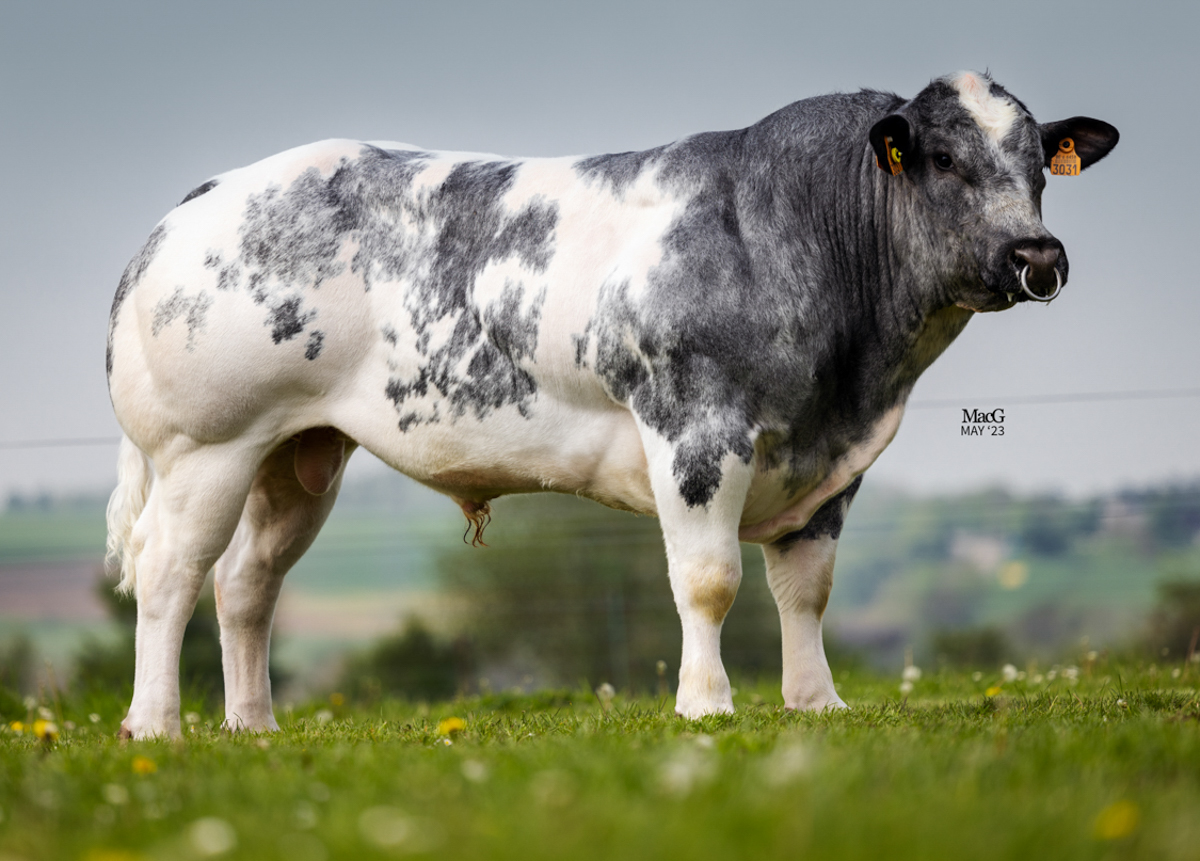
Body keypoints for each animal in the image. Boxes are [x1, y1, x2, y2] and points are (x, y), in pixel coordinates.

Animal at [104, 71, 1118, 738]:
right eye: (942, 157)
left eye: (1038, 162)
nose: (1037, 255)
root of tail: (205, 197)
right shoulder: (696, 430)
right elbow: (708, 579)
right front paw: (706, 704)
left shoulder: (828, 464)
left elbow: (806, 588)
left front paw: (815, 702)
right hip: (206, 444)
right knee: (168, 573)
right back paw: (156, 724)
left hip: (295, 453)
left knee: (246, 583)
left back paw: (253, 725)